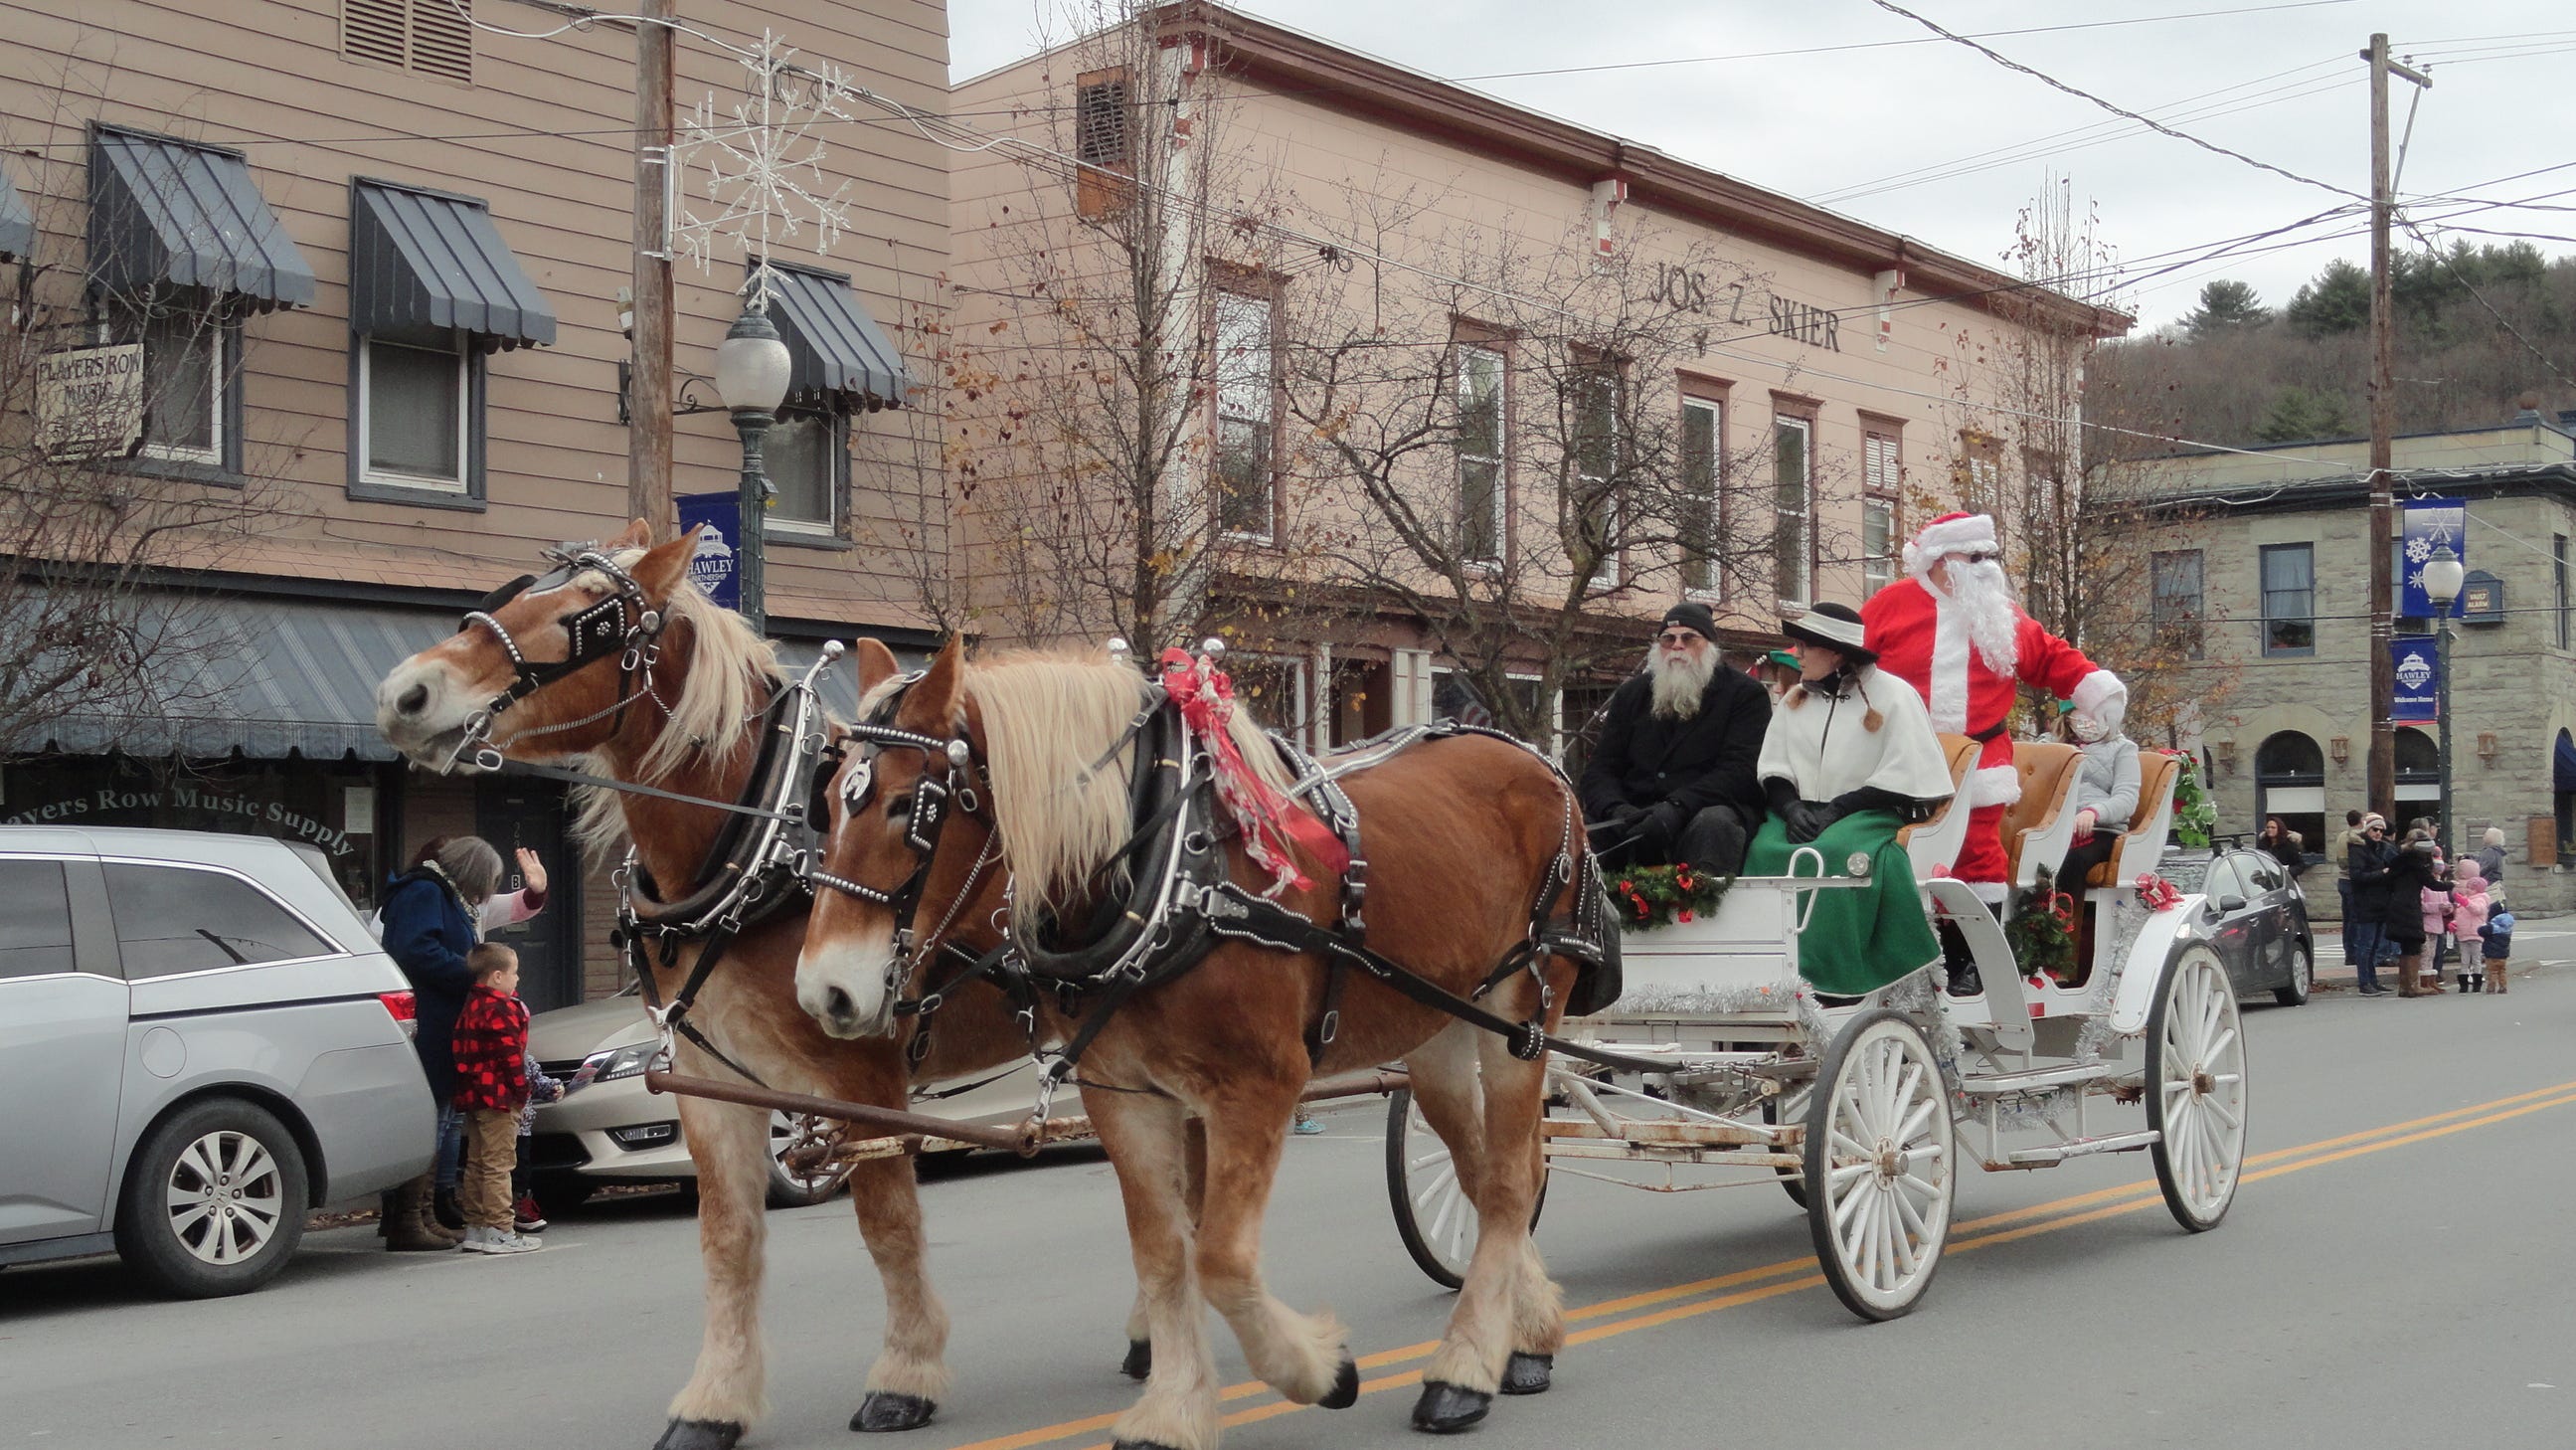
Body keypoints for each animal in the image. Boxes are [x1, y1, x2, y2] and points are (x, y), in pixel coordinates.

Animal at [371, 527, 1045, 1450]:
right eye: (512, 591)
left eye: (589, 618)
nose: (405, 692)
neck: (761, 855)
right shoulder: (709, 1079)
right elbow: (728, 1238)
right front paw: (713, 1404)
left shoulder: (862, 1077)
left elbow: (887, 1224)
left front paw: (905, 1376)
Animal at [793, 638, 1576, 1450]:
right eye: (826, 802)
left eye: (906, 809)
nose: (825, 993)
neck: (1170, 875)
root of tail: (1530, 758)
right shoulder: (1125, 1095)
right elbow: (1165, 1253)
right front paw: (1173, 1408)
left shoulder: (1259, 1087)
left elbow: (1222, 1259)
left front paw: (1321, 1371)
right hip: (1438, 1034)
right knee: (1485, 1177)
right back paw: (1526, 1337)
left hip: (1521, 1018)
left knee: (1509, 1183)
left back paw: (1464, 1372)